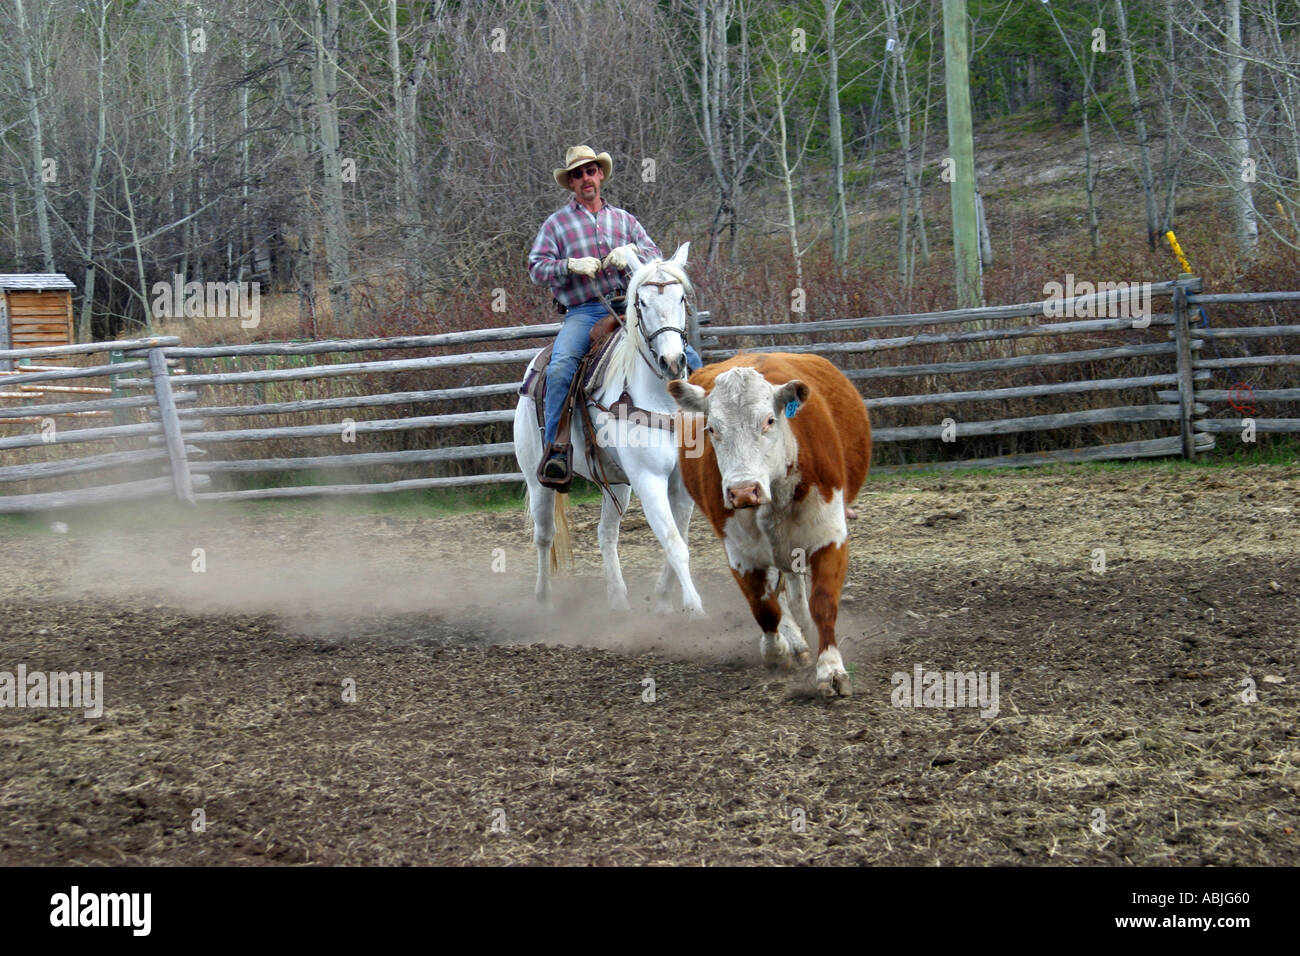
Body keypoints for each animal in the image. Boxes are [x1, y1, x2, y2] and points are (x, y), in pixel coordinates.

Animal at [667, 353, 871, 698]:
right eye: (711, 428)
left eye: (769, 421)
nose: (742, 491)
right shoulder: (740, 552)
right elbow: (765, 608)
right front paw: (776, 652)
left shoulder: (829, 536)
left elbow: (823, 603)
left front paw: (831, 669)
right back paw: (796, 640)